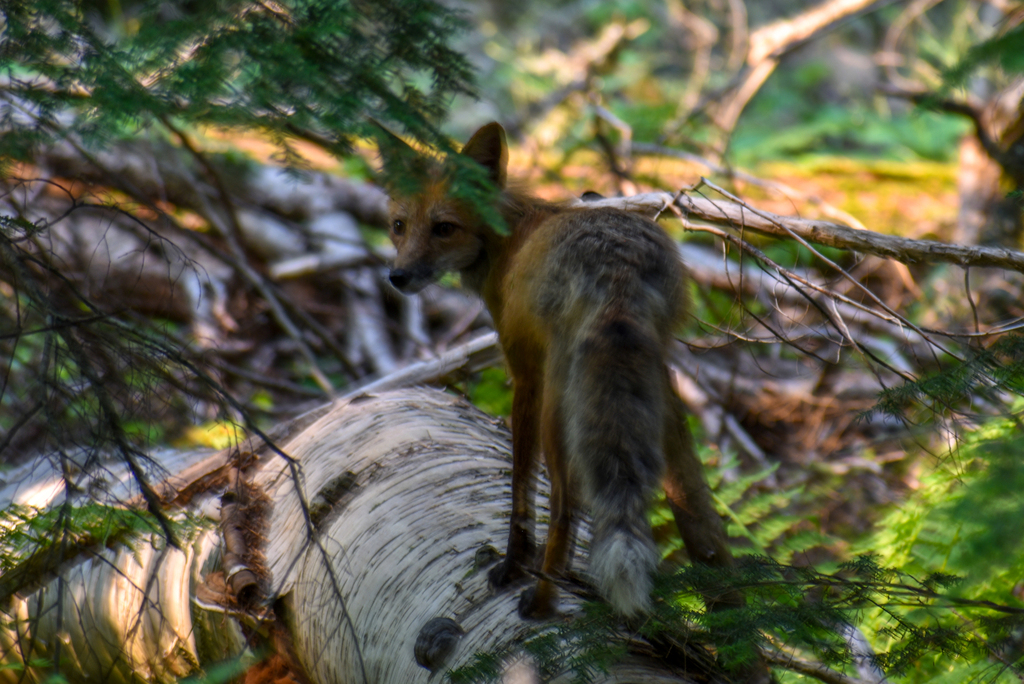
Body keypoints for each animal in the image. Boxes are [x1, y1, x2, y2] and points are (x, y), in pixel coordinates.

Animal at [383, 122, 719, 619]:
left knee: (564, 507)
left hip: (560, 404)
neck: (509, 240)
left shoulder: (525, 373)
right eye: (399, 226)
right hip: (651, 386)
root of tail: (619, 266)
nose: (398, 277)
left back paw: (542, 601)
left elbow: (520, 489)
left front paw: (513, 566)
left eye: (444, 228)